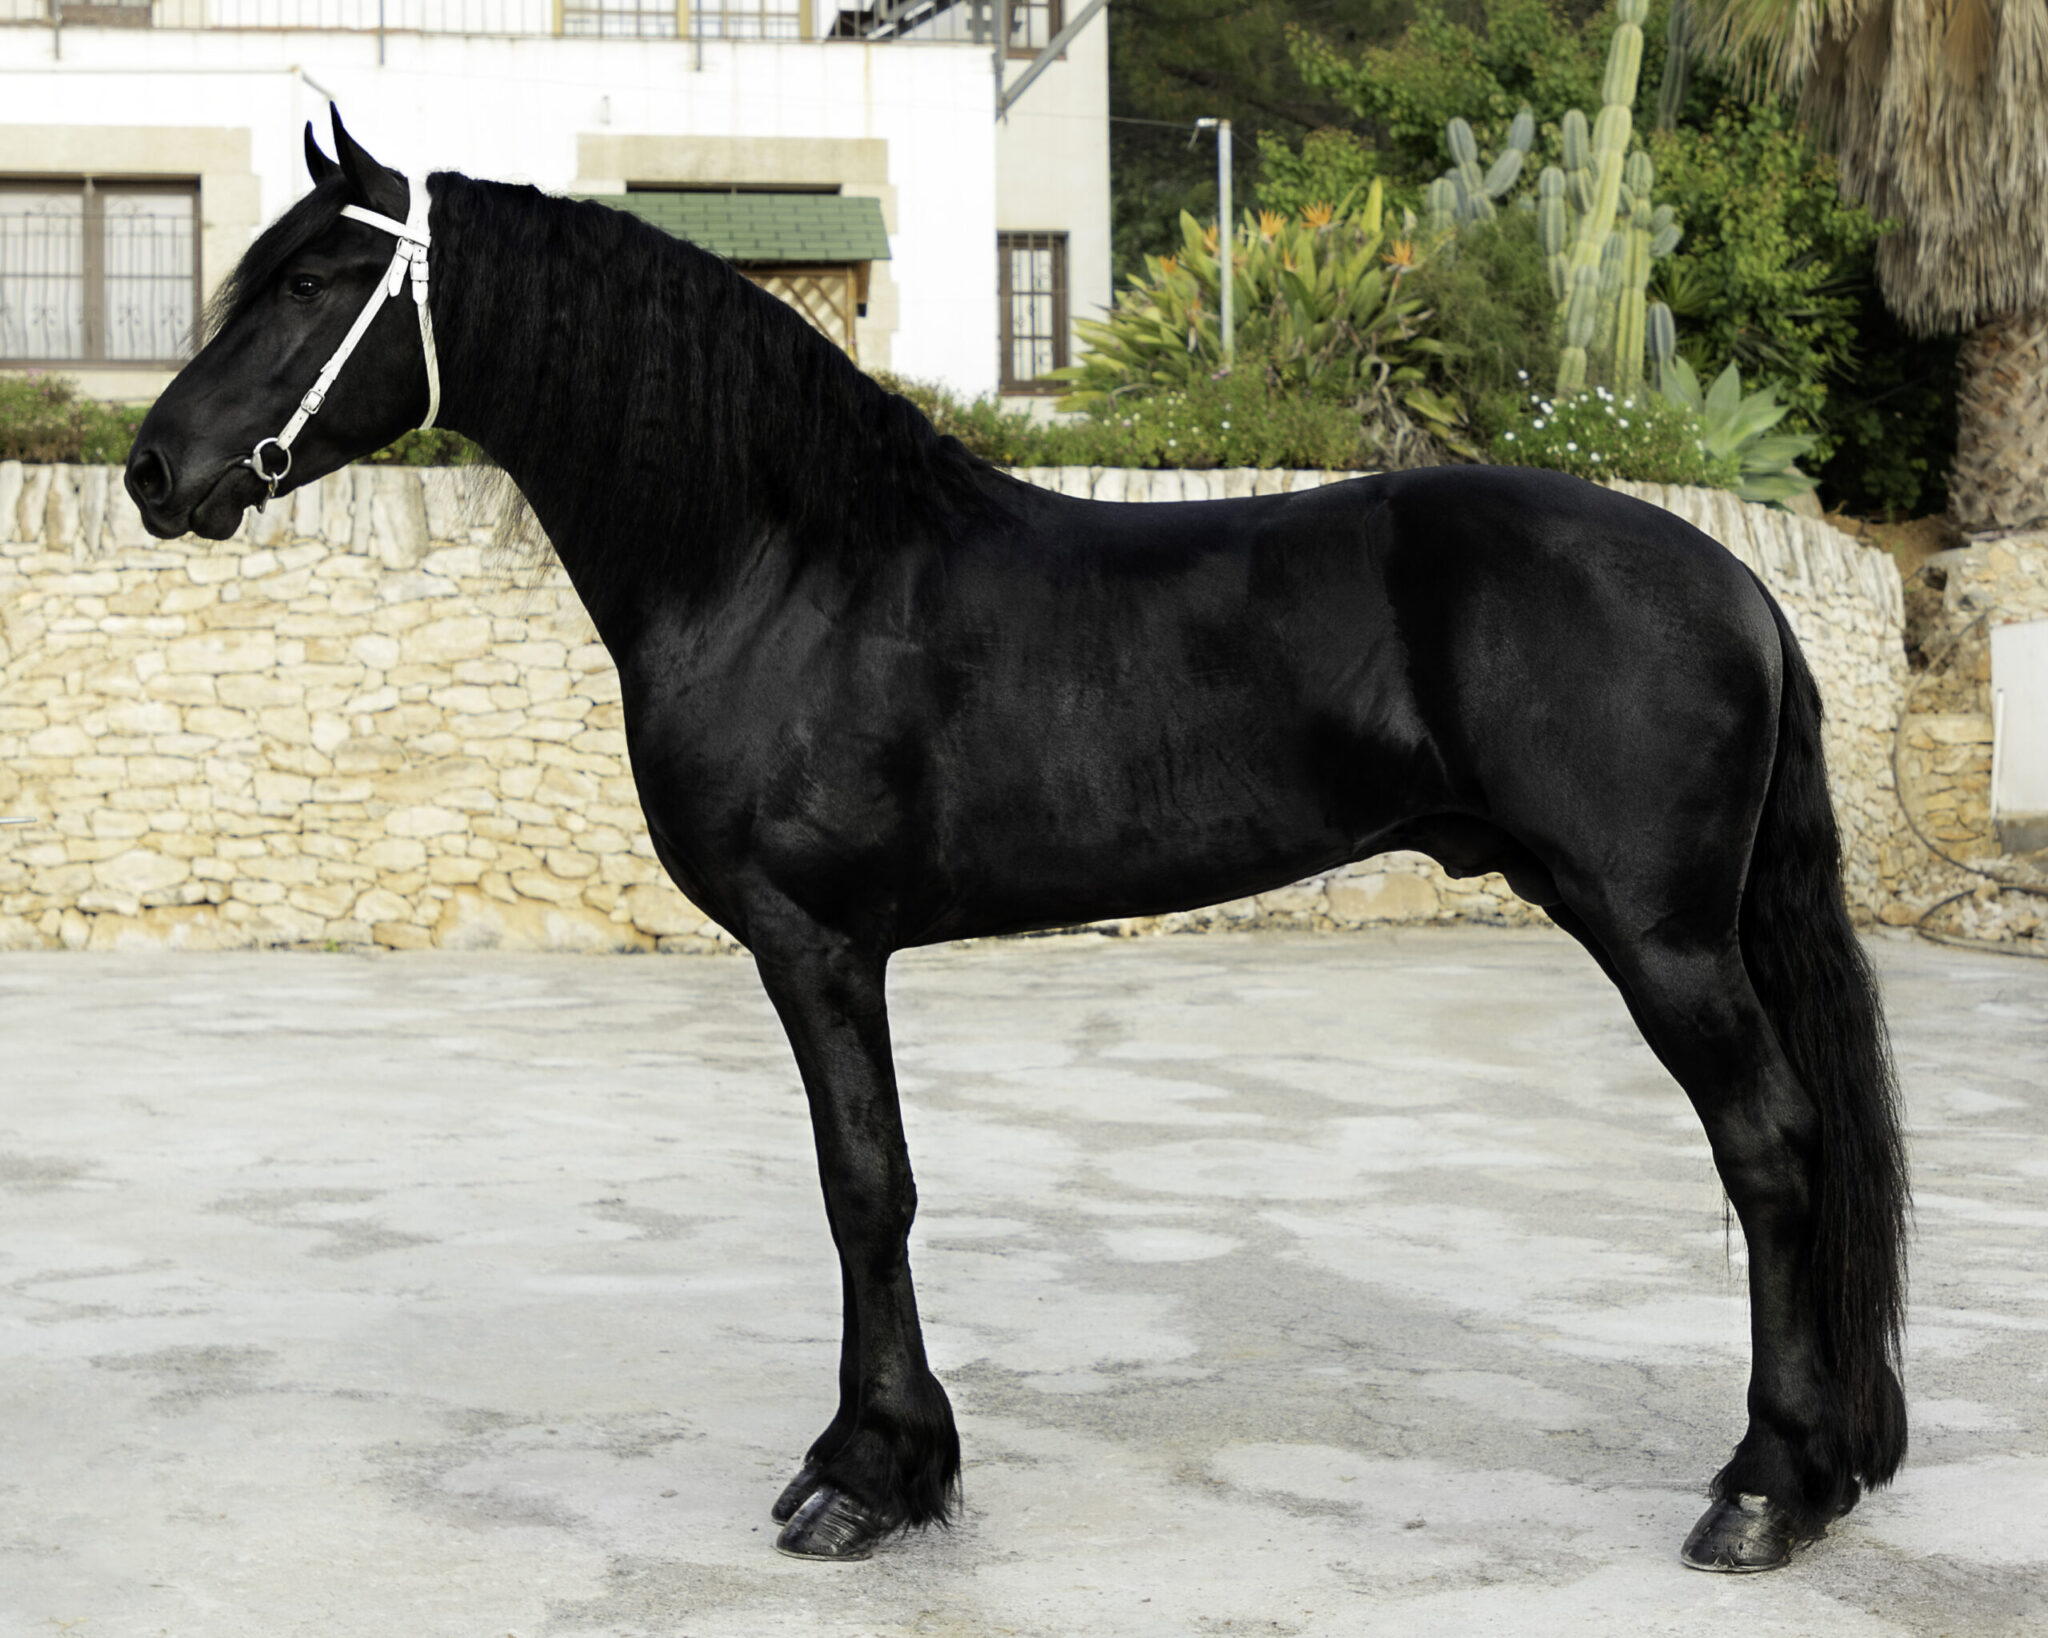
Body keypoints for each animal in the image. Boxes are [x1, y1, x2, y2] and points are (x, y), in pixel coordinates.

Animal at [124, 110, 1908, 1573]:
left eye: (315, 280)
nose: (152, 470)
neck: (780, 564)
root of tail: (1737, 584)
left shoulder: (816, 942)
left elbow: (866, 1187)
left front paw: (864, 1479)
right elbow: (877, 1184)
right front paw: (892, 1463)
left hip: (1659, 933)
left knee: (1773, 1145)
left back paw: (1765, 1490)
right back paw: (1820, 1472)